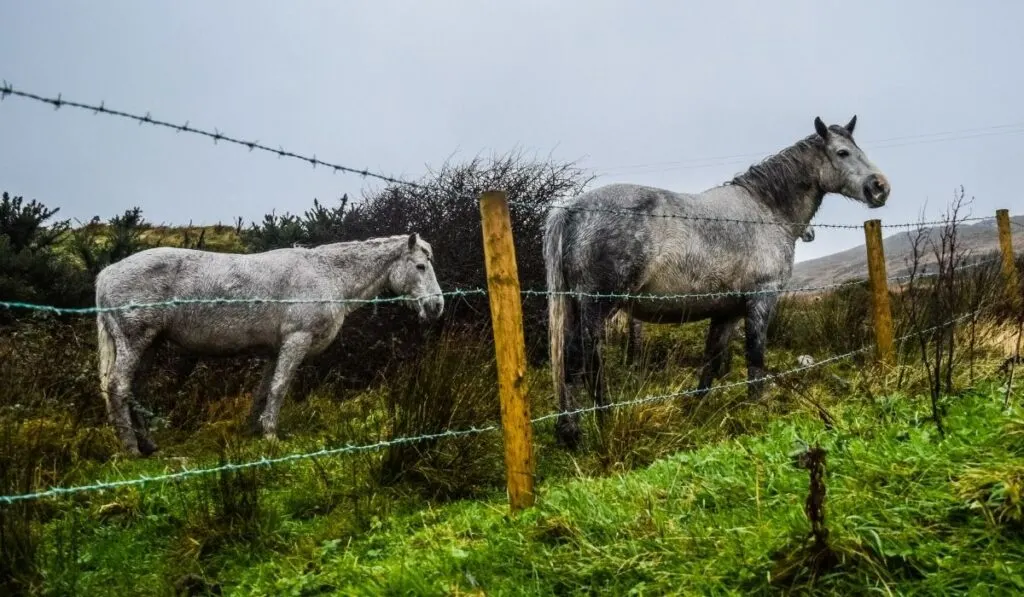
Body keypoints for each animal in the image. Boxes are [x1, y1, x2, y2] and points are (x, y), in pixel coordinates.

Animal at [95, 232, 444, 456]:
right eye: (420, 266)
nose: (436, 306)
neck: (326, 274)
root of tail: (106, 274)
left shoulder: (276, 350)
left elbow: (263, 391)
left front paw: (253, 430)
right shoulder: (296, 341)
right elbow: (280, 388)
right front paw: (271, 435)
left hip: (149, 345)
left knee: (134, 390)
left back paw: (148, 445)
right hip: (134, 341)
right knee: (117, 388)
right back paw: (131, 449)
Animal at [544, 116, 890, 448]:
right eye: (842, 153)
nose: (880, 188)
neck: (766, 210)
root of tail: (570, 210)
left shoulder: (727, 312)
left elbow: (710, 361)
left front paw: (695, 411)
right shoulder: (760, 300)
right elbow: (755, 356)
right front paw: (757, 410)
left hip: (579, 307)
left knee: (575, 363)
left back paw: (577, 426)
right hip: (597, 306)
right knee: (581, 360)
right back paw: (589, 426)